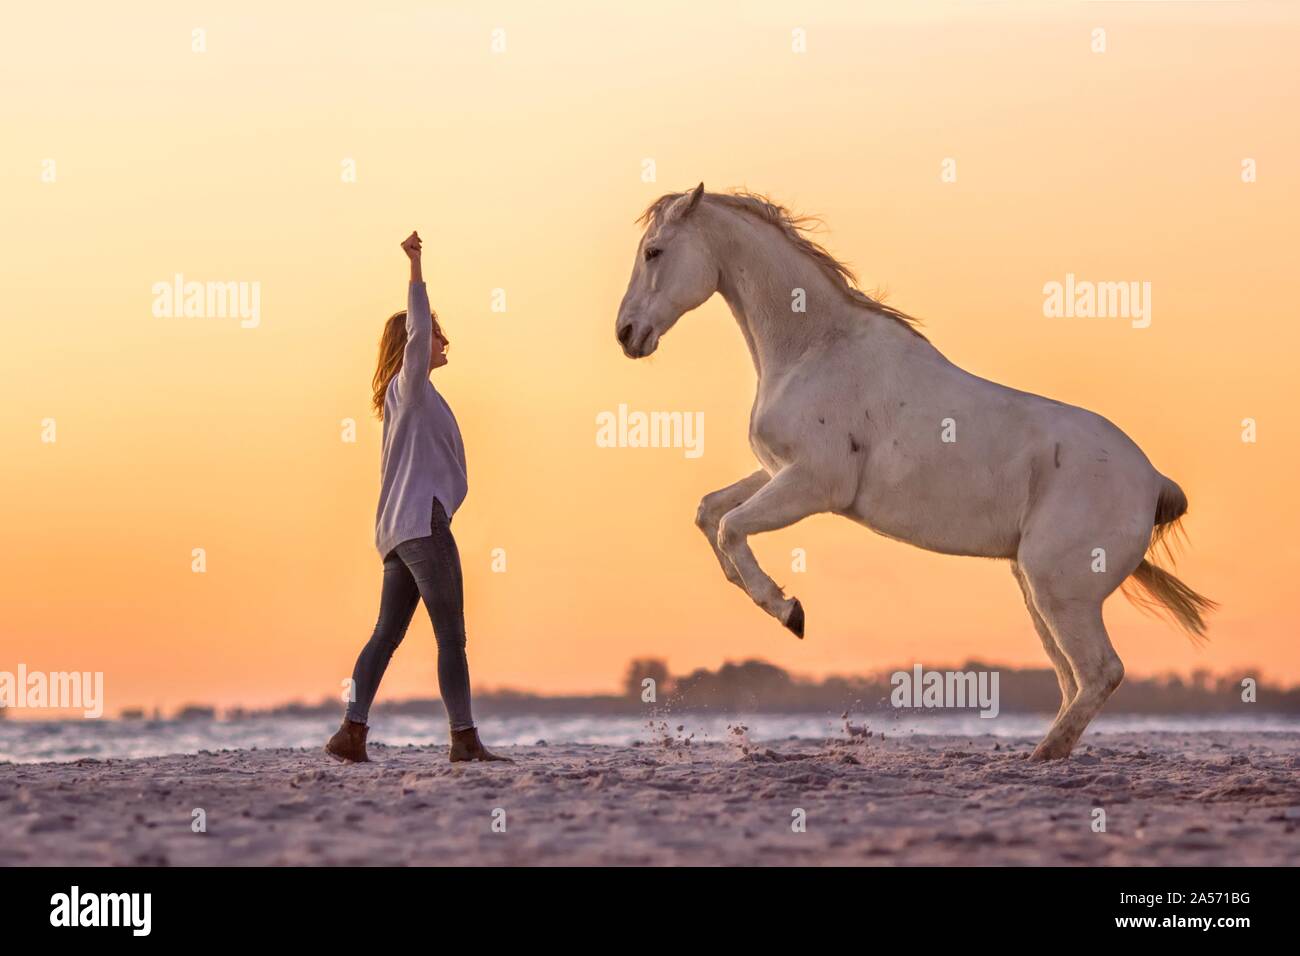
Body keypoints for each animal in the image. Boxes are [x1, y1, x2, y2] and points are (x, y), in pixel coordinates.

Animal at [614, 184, 1215, 760]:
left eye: (654, 251)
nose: (626, 334)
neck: (815, 349)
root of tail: (1153, 480)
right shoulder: (779, 471)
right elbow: (710, 513)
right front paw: (773, 600)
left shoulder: (813, 485)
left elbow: (729, 527)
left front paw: (789, 612)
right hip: (1037, 588)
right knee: (1074, 678)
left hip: (1059, 591)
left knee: (1100, 673)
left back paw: (1040, 755)